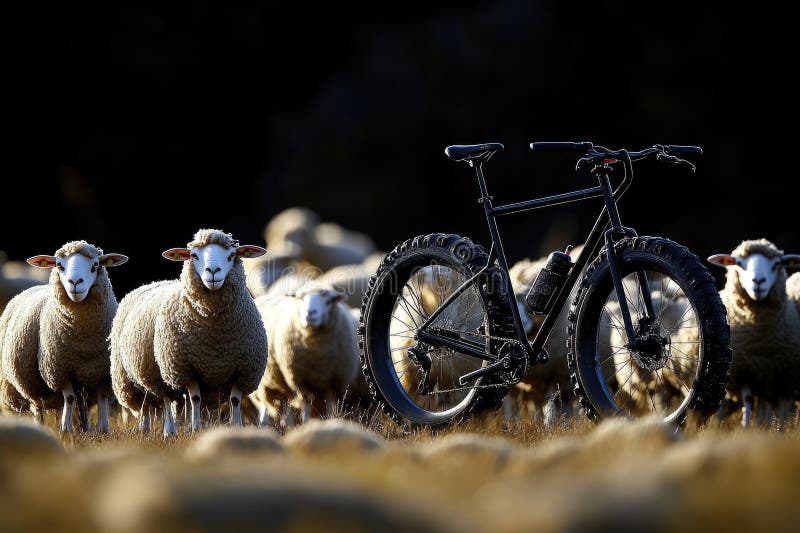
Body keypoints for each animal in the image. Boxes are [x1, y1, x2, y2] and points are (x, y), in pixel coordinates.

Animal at [0, 241, 127, 432]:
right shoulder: (59, 370)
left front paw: (103, 428)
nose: (75, 282)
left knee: (83, 405)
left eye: (95, 266)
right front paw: (65, 428)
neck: (84, 342)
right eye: (59, 266)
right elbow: (69, 398)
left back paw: (85, 428)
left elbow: (102, 398)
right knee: (37, 407)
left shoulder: (104, 374)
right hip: (29, 387)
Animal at [110, 229, 268, 436]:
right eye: (194, 256)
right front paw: (195, 428)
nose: (213, 272)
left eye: (231, 256)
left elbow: (235, 400)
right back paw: (165, 431)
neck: (216, 333)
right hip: (150, 377)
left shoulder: (243, 370)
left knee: (177, 404)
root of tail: (153, 282)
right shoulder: (186, 369)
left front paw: (237, 427)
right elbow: (194, 399)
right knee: (160, 403)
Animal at [250, 283, 359, 426]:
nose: (310, 313)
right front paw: (306, 424)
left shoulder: (333, 384)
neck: (317, 354)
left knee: (287, 408)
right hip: (265, 383)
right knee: (266, 409)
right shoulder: (300, 381)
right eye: (300, 299)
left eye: (328, 301)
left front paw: (331, 421)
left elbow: (330, 408)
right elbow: (306, 407)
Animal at [706, 238, 800, 427]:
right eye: (739, 264)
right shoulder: (745, 372)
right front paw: (746, 428)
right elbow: (748, 401)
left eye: (776, 265)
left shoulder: (782, 377)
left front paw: (778, 430)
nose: (758, 281)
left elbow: (781, 411)